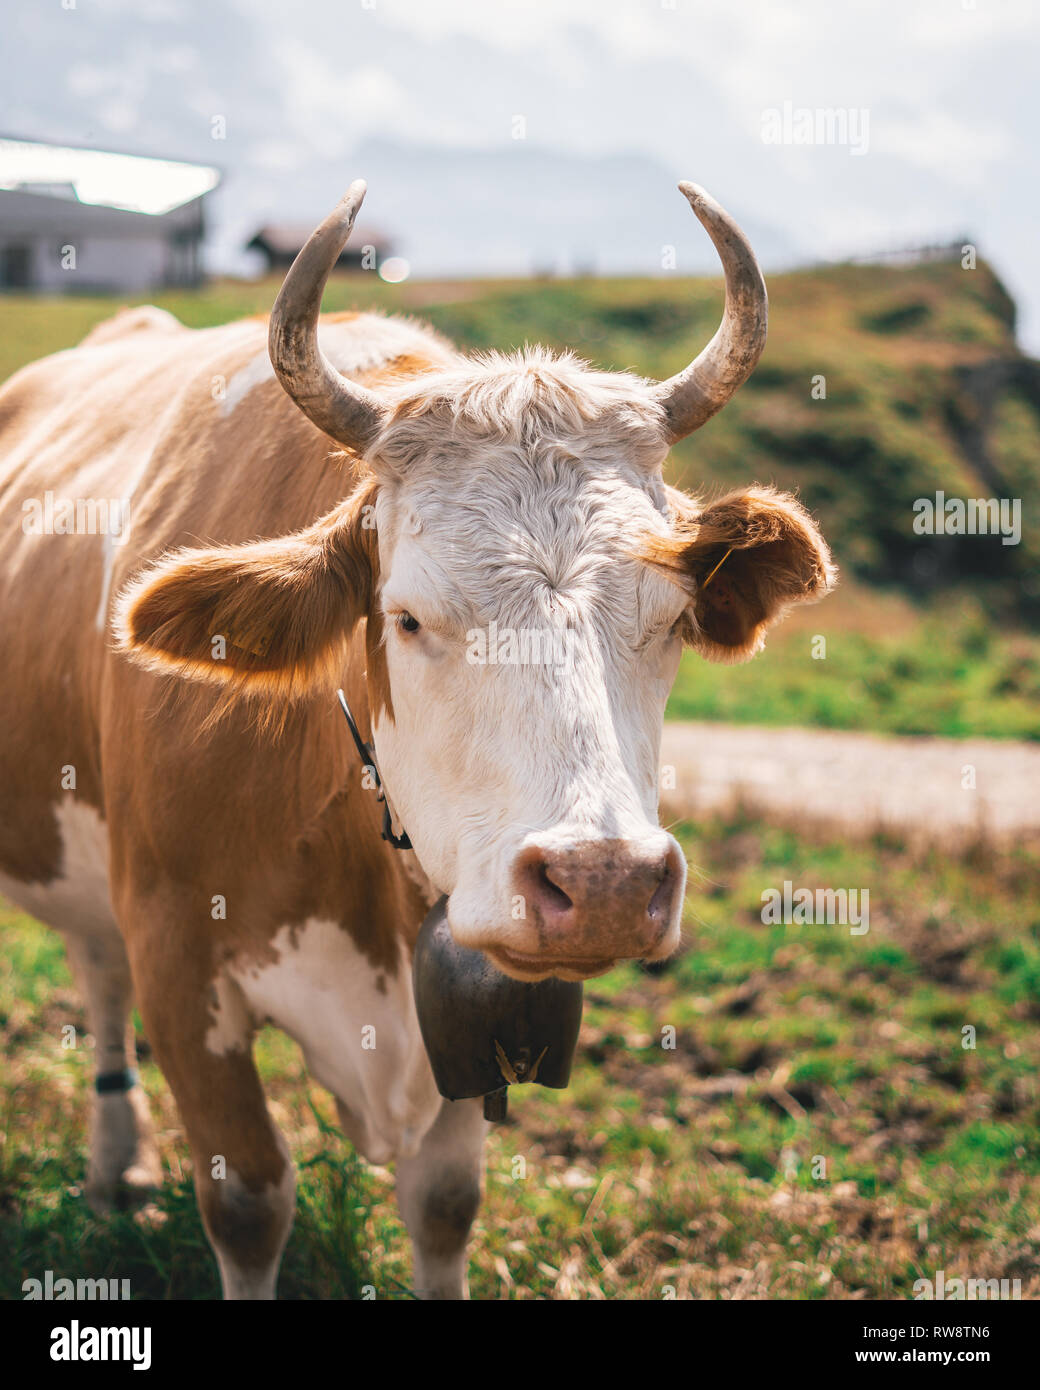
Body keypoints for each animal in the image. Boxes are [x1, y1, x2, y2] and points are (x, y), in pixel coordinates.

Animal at [0, 179, 835, 1299]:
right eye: (404, 617)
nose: (607, 883)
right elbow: (248, 1201)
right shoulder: (180, 964)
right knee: (102, 978)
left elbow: (444, 1204)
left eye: (666, 616)